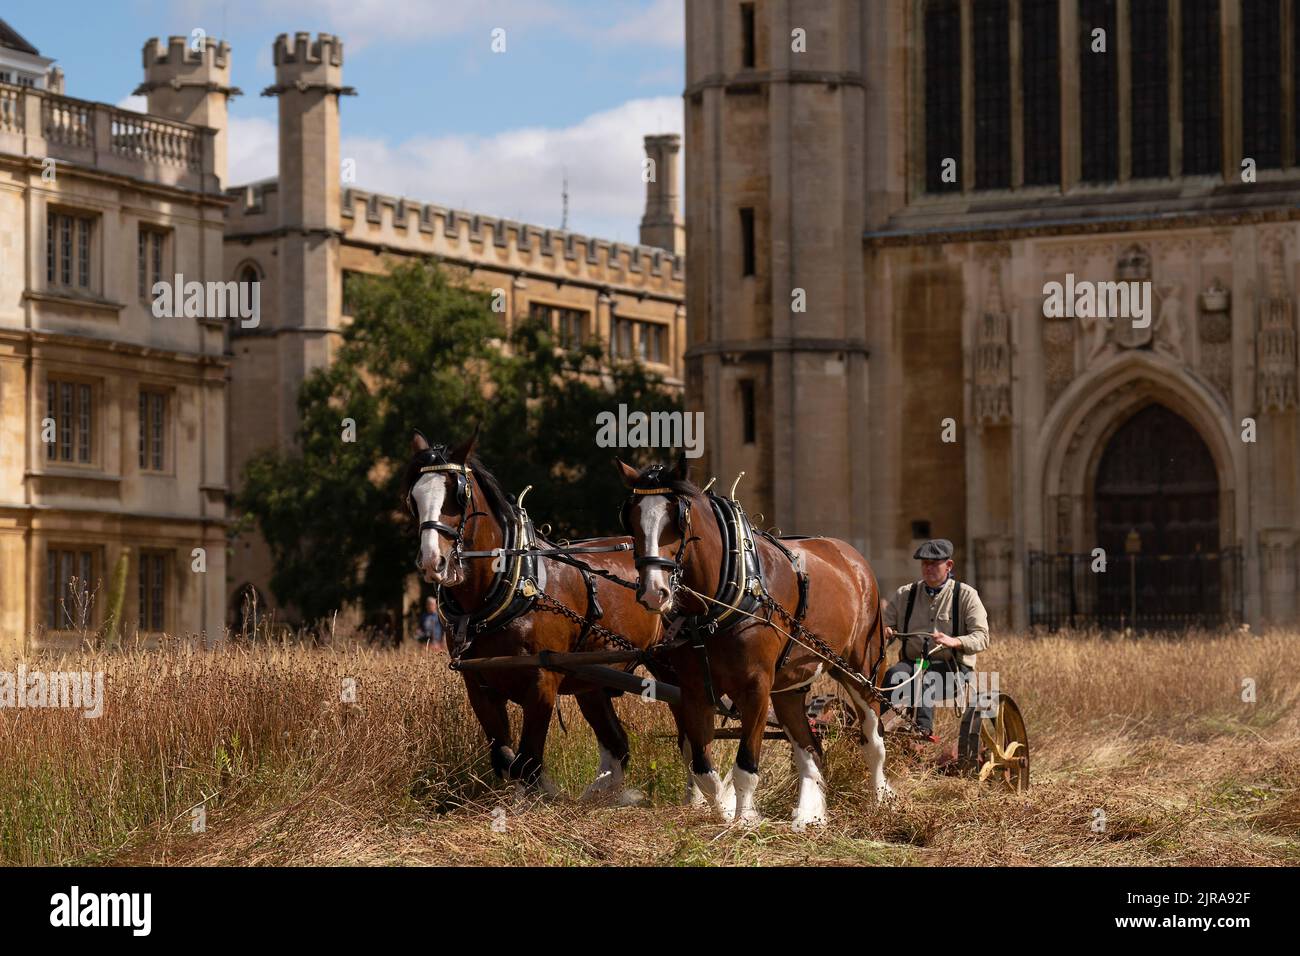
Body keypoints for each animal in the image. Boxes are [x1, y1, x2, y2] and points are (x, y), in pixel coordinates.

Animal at [403, 429, 691, 805]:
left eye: (457, 495)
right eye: (413, 497)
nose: (432, 561)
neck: (510, 585)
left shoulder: (542, 682)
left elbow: (528, 759)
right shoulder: (477, 684)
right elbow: (506, 757)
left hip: (670, 662)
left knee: (689, 726)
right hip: (592, 678)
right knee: (616, 743)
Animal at [616, 456, 892, 827]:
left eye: (677, 519)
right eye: (631, 519)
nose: (652, 591)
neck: (717, 604)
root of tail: (851, 557)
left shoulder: (756, 687)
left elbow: (746, 766)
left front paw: (745, 821)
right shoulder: (693, 690)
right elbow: (703, 770)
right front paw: (724, 812)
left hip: (860, 669)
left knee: (872, 740)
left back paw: (881, 802)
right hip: (790, 685)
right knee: (809, 748)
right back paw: (808, 815)